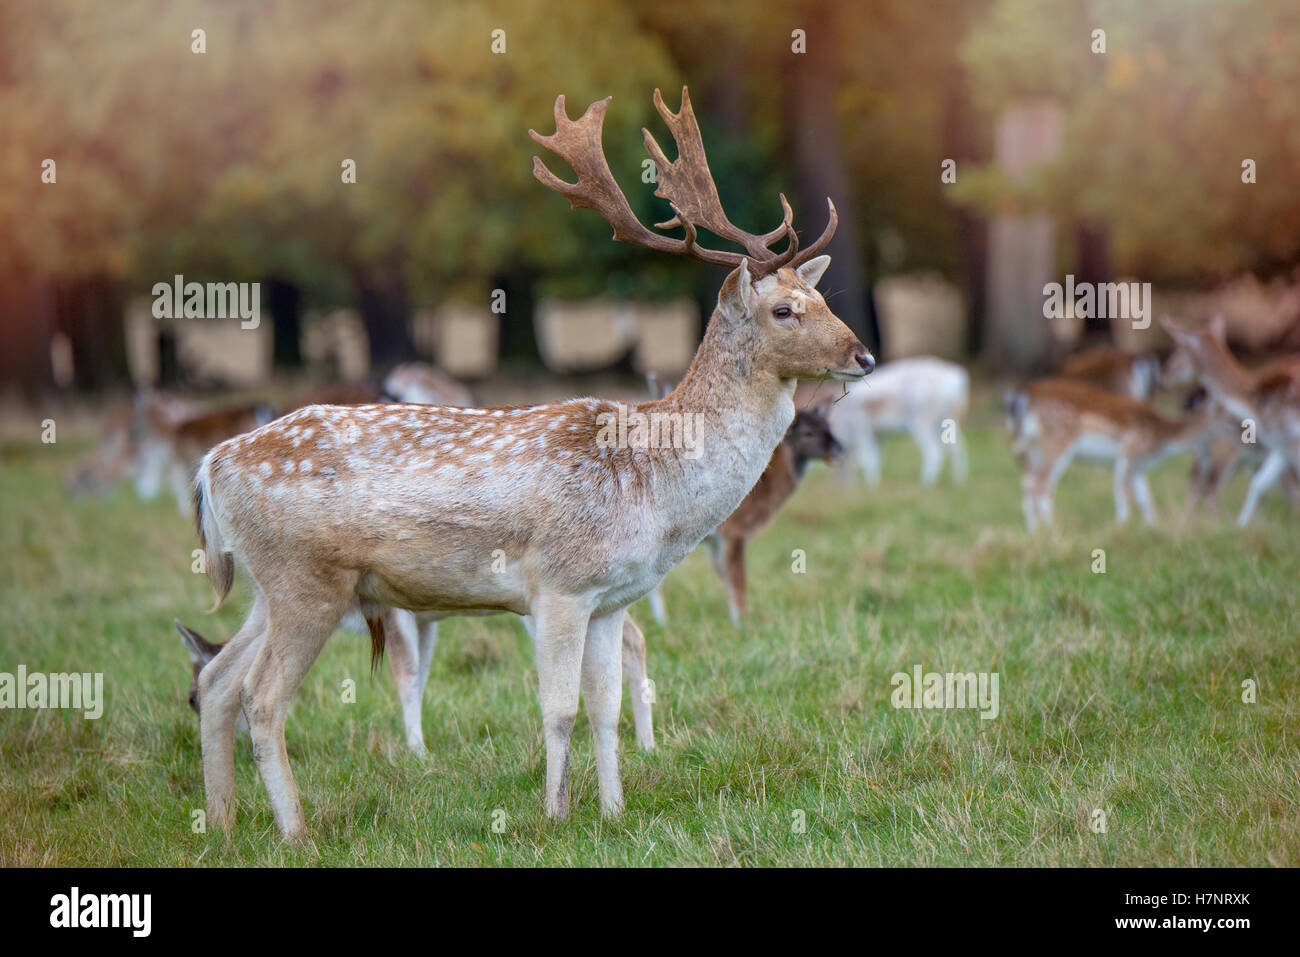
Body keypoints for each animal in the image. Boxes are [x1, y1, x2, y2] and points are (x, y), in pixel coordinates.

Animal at [186, 88, 871, 841]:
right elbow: (560, 708)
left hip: (267, 584)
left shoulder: (609, 599)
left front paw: (614, 812)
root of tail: (211, 464)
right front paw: (555, 813)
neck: (652, 482)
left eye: (823, 299)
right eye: (783, 310)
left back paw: (221, 822)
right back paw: (296, 832)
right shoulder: (561, 584)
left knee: (217, 680)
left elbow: (606, 707)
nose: (864, 355)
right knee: (261, 696)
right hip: (306, 579)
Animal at [823, 356, 968, 486]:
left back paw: (926, 483)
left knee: (935, 451)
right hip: (949, 420)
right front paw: (874, 485)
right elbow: (878, 458)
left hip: (923, 421)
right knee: (957, 448)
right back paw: (959, 481)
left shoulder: (863, 429)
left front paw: (870, 487)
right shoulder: (879, 435)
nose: (838, 487)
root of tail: (953, 380)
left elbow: (868, 459)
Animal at [1005, 378, 1207, 529]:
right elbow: (1123, 491)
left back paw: (1035, 529)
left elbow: (1144, 498)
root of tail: (1024, 396)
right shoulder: (1129, 450)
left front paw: (1151, 528)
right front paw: (1122, 528)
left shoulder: (1139, 466)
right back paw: (1053, 529)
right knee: (1041, 483)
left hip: (1034, 449)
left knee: (1027, 481)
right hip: (1057, 443)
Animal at [1160, 316, 1300, 526]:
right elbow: (1262, 484)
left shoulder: (1286, 441)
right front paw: (1244, 526)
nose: (1164, 374)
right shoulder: (1279, 445)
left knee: (1205, 482)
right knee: (1203, 482)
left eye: (1178, 348)